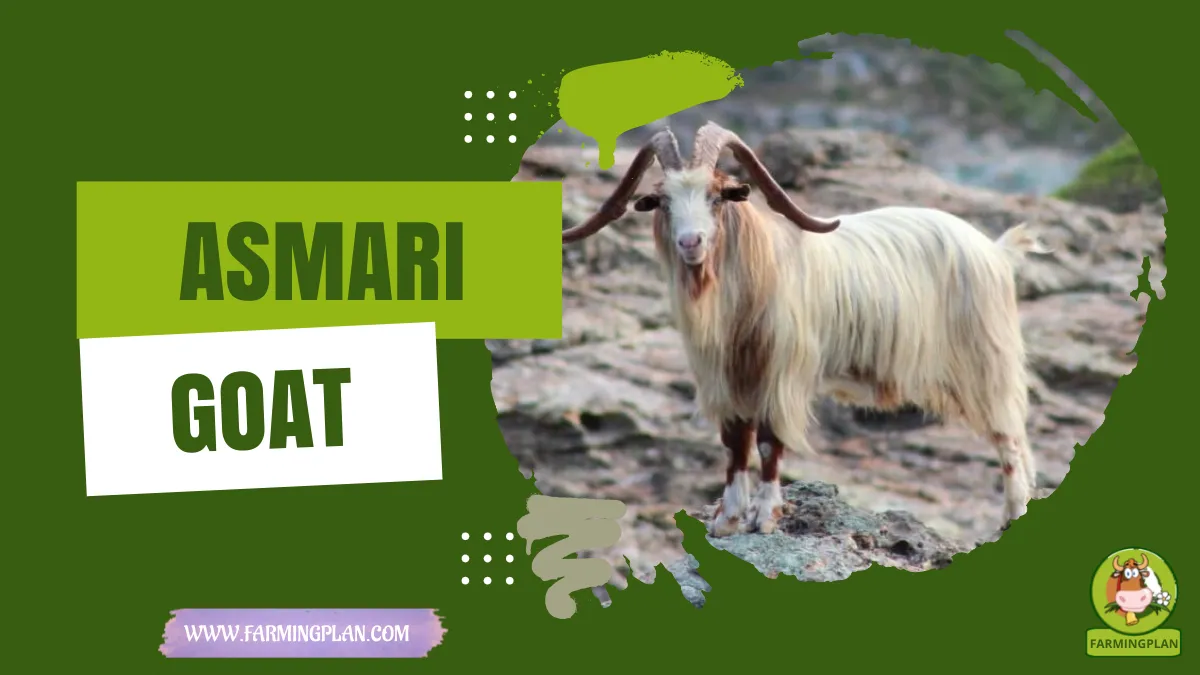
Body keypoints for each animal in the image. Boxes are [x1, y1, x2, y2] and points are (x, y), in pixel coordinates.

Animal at [561, 121, 1045, 538]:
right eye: (663, 201)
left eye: (716, 196)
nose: (690, 242)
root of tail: (996, 251)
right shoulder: (728, 380)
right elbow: (735, 444)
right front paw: (728, 519)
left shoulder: (781, 375)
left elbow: (770, 444)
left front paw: (764, 517)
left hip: (987, 362)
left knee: (1011, 441)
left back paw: (1011, 516)